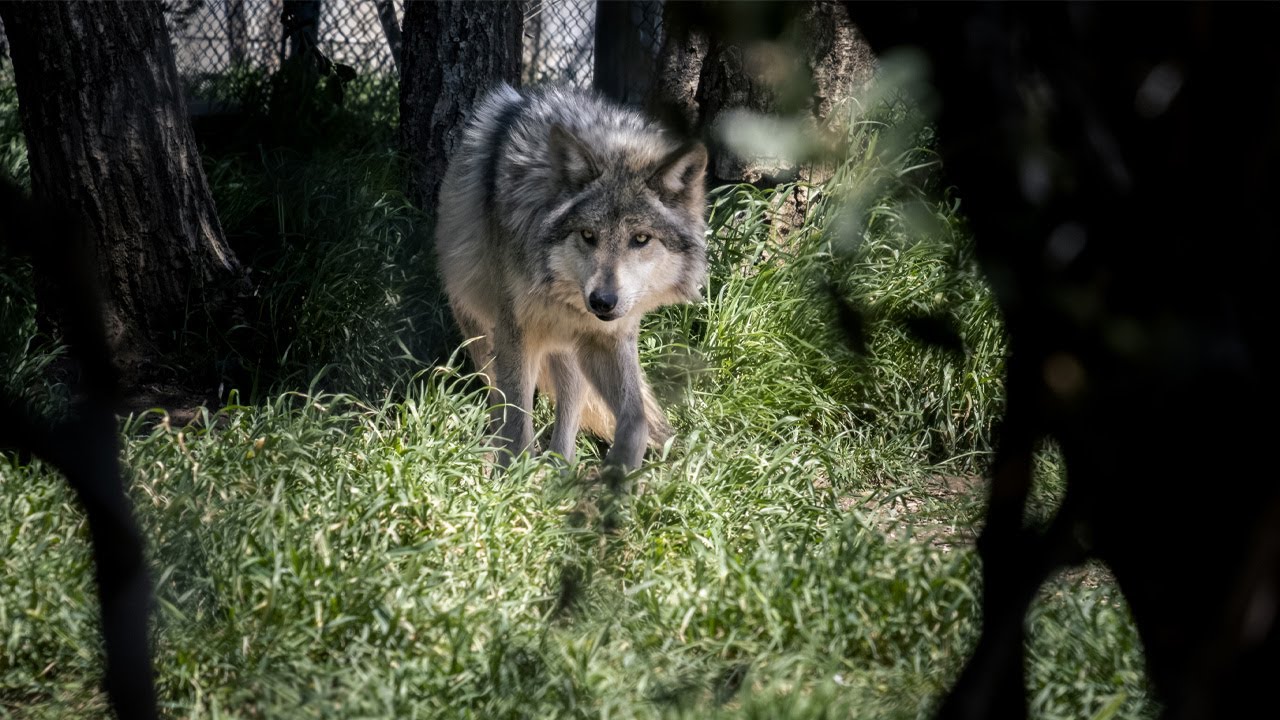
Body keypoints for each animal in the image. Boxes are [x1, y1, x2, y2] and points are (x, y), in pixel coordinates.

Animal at [434, 84, 708, 472]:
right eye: (588, 235)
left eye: (641, 238)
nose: (602, 301)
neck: (561, 295)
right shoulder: (516, 334)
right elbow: (516, 423)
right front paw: (514, 479)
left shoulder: (609, 337)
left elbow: (636, 420)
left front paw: (619, 475)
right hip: (482, 331)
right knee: (497, 399)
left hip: (570, 352)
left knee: (570, 404)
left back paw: (561, 468)